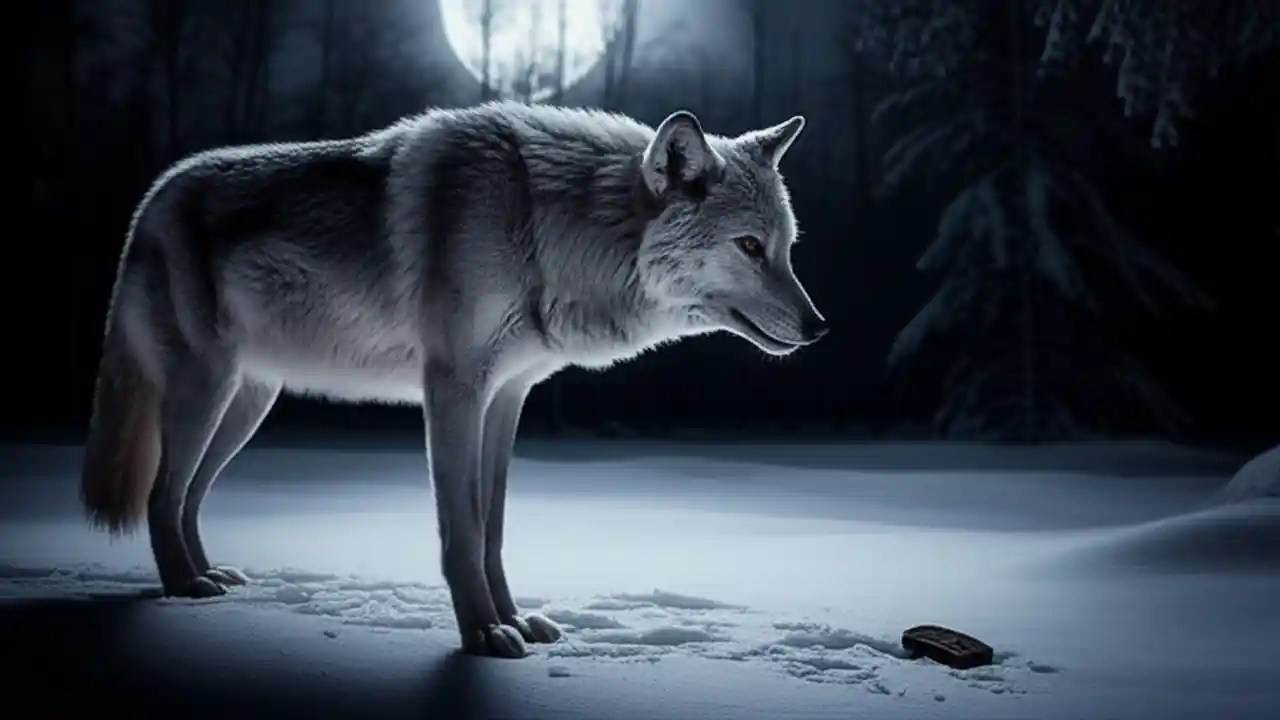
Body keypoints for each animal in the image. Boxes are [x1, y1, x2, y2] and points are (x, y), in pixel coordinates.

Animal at [80, 101, 828, 657]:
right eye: (749, 247)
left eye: (787, 249)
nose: (819, 327)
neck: (542, 224)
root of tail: (154, 196)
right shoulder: (453, 390)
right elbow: (461, 531)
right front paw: (482, 634)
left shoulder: (506, 398)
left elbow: (491, 528)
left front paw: (514, 620)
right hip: (205, 393)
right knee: (160, 495)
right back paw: (184, 587)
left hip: (247, 406)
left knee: (187, 498)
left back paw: (206, 576)